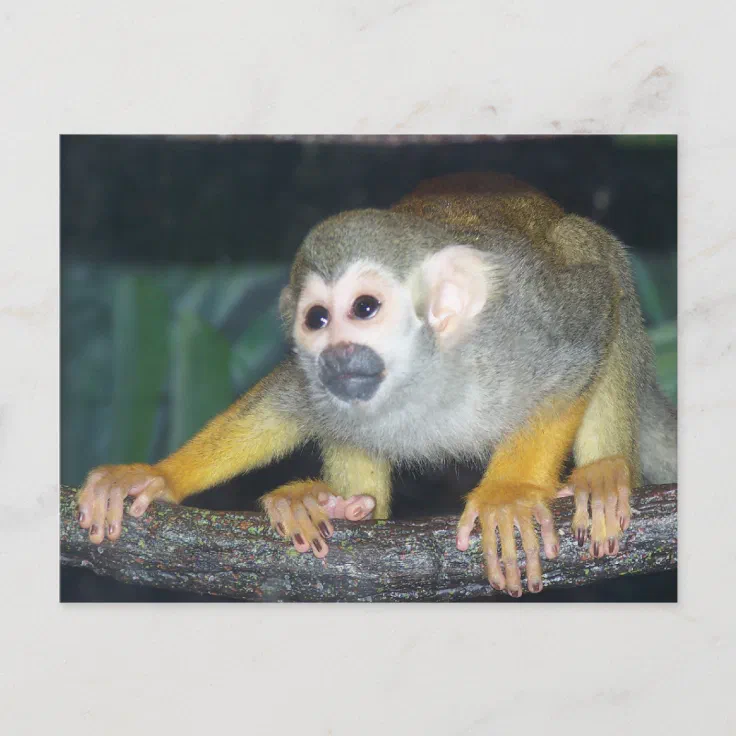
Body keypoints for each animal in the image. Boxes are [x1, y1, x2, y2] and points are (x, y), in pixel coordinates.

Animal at [76, 171, 677, 597]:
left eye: (364, 309)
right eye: (317, 319)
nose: (336, 354)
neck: (423, 371)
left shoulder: (520, 329)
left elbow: (586, 331)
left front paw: (510, 493)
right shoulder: (322, 380)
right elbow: (286, 402)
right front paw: (157, 477)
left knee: (595, 258)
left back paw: (605, 475)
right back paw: (336, 505)